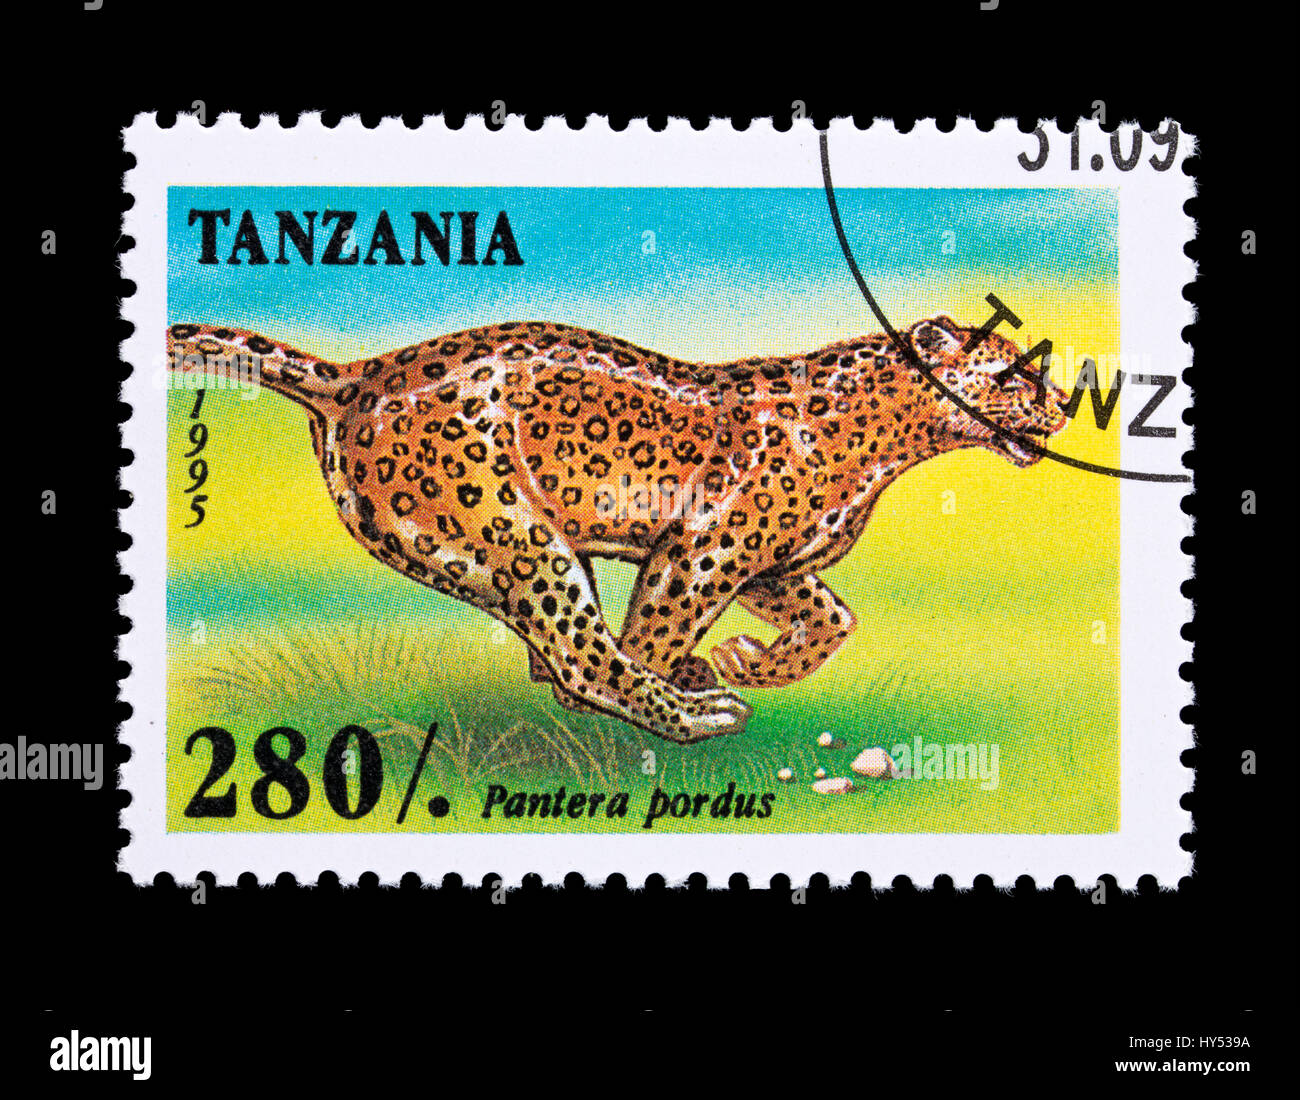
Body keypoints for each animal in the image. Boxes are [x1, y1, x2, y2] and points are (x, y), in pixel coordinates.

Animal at [166, 316, 1069, 744]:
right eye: (1015, 374)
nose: (1063, 406)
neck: (889, 434)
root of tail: (359, 373)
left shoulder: (774, 563)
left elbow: (833, 620)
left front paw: (748, 658)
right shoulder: (704, 549)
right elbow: (655, 632)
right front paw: (702, 672)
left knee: (564, 645)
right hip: (520, 536)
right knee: (584, 654)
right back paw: (691, 714)